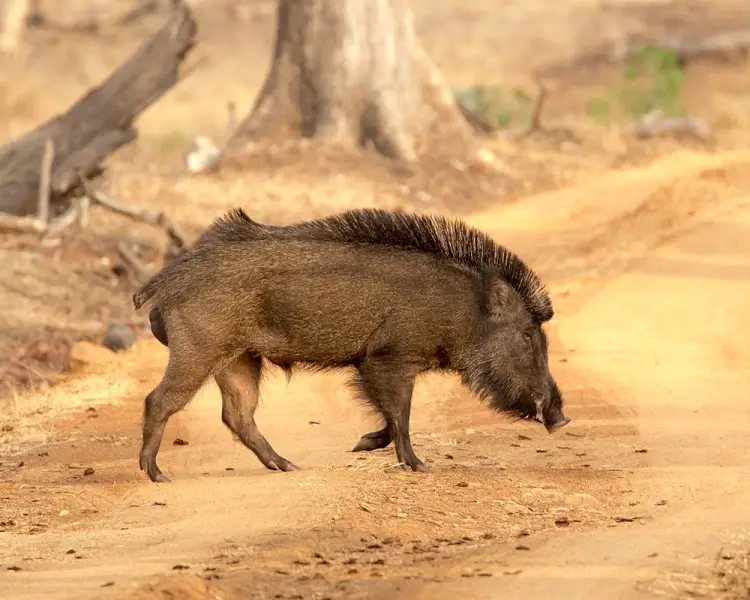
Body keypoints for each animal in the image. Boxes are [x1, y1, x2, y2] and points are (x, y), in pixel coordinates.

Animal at [133, 208, 570, 483]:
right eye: (527, 333)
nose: (562, 418)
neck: (463, 310)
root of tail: (161, 286)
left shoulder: (372, 363)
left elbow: (392, 420)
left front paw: (362, 446)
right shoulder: (389, 358)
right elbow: (401, 417)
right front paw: (418, 466)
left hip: (240, 360)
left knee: (238, 415)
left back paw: (289, 466)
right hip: (199, 348)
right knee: (160, 400)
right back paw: (157, 475)